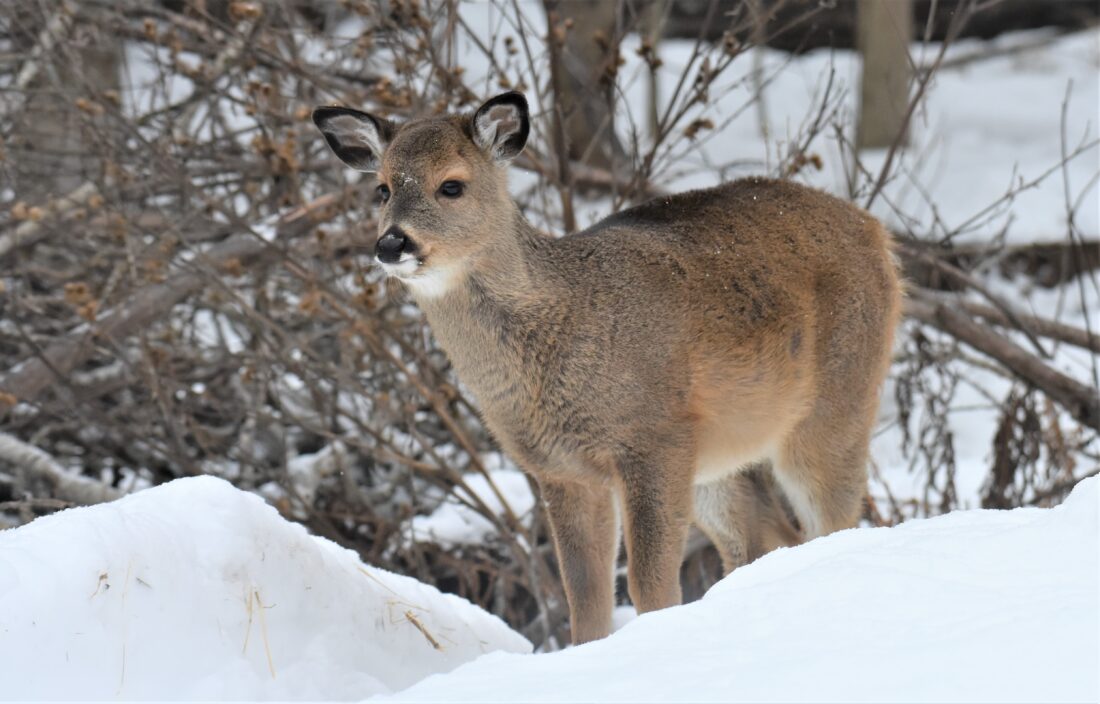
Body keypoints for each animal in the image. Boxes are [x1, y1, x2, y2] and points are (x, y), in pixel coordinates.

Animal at [313, 92, 902, 645]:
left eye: (451, 185)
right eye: (382, 188)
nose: (392, 242)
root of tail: (877, 231)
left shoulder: (653, 437)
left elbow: (649, 583)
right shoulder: (563, 470)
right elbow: (587, 598)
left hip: (837, 404)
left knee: (833, 522)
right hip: (719, 459)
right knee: (768, 537)